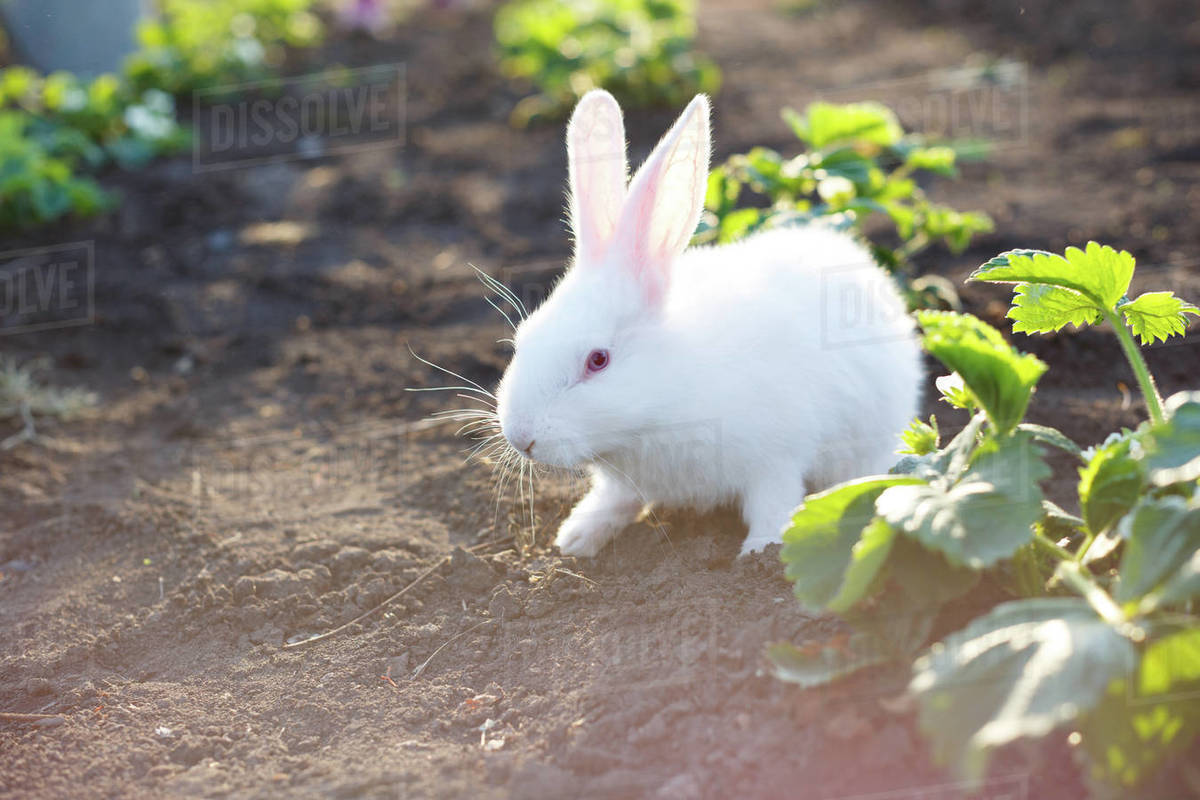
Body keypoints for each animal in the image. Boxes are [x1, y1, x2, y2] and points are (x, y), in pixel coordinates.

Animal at [494, 89, 922, 557]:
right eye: (522, 339)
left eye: (598, 360)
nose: (521, 437)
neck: (663, 402)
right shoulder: (626, 483)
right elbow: (615, 501)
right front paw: (576, 538)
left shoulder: (775, 458)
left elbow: (774, 503)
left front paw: (761, 550)